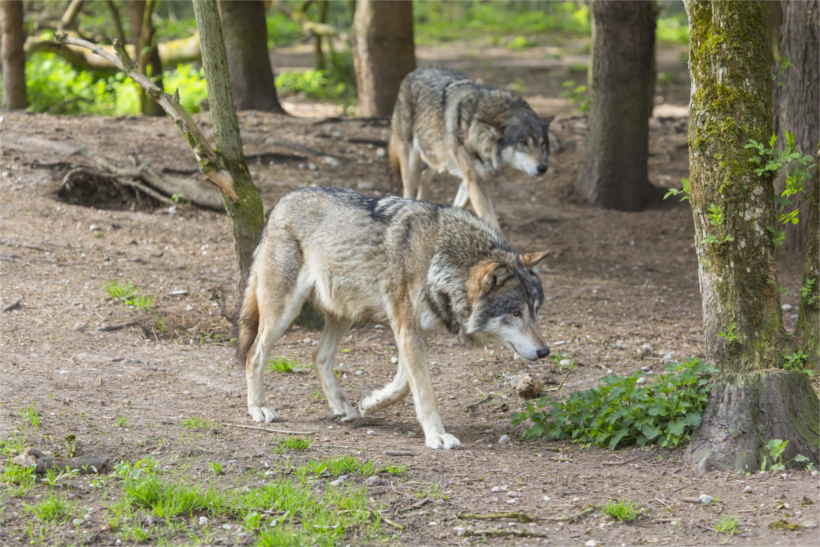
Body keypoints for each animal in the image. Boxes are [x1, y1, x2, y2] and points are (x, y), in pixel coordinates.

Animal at [236, 188, 552, 450]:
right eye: (515, 313)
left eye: (535, 311)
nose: (545, 351)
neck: (440, 261)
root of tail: (278, 204)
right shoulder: (407, 329)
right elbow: (424, 391)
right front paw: (437, 436)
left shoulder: (413, 332)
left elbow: (403, 386)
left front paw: (371, 403)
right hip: (284, 313)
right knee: (254, 354)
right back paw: (259, 408)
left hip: (344, 313)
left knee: (318, 356)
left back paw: (343, 407)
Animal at [388, 66, 554, 232]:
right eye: (523, 143)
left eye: (542, 144)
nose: (542, 168)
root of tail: (415, 71)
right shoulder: (475, 182)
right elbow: (491, 220)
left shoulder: (472, 181)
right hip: (412, 164)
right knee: (409, 190)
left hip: (440, 161)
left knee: (424, 178)